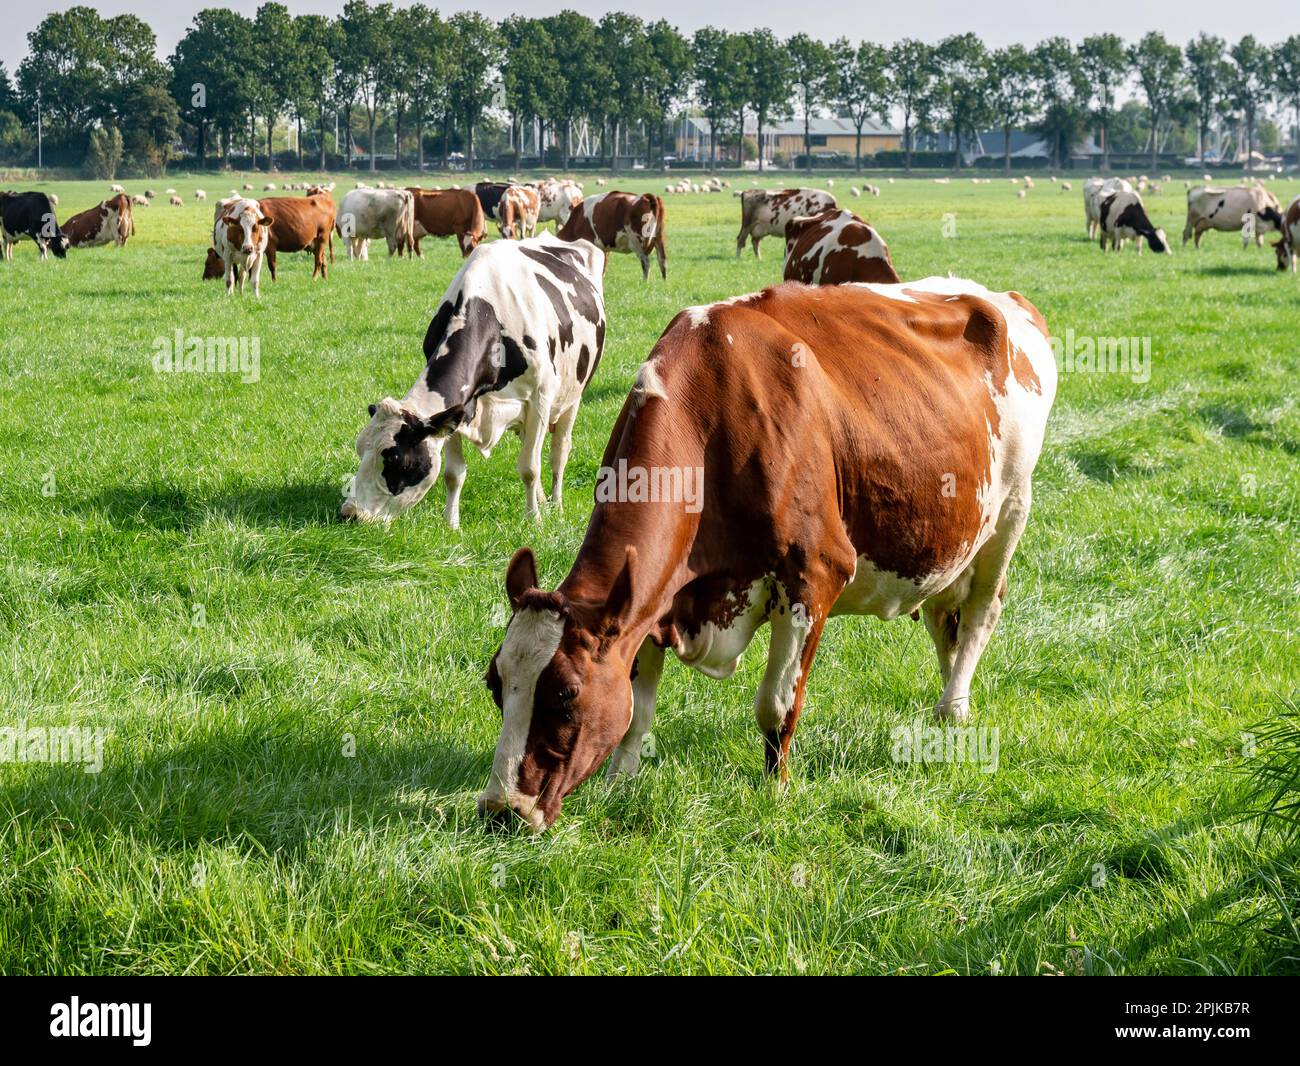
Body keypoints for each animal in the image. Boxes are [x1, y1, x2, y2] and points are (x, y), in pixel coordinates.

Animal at [341, 232, 607, 528]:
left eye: (398, 460)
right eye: (360, 449)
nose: (351, 514)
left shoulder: (540, 397)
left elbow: (529, 467)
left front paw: (533, 520)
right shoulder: (456, 410)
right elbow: (453, 473)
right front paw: (451, 523)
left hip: (572, 397)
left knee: (558, 453)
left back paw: (556, 506)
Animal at [476, 276, 1057, 831]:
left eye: (566, 694)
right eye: (494, 683)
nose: (499, 809)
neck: (708, 418)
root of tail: (1003, 298)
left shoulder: (815, 574)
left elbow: (776, 705)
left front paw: (775, 790)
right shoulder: (649, 596)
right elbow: (636, 706)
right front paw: (621, 780)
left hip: (1010, 511)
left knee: (981, 611)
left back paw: (953, 707)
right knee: (943, 618)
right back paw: (948, 693)